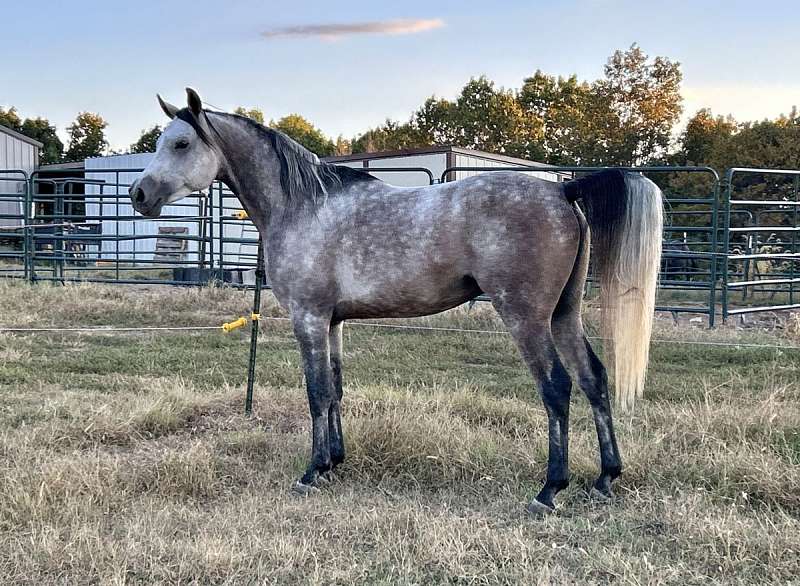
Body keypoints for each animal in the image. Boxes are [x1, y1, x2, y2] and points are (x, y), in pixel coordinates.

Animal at [130, 89, 663, 514]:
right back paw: (605, 478)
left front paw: (312, 471)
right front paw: (335, 463)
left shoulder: (309, 318)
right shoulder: (333, 322)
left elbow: (316, 393)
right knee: (593, 379)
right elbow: (335, 390)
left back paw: (550, 490)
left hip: (526, 317)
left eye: (180, 143)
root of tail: (563, 190)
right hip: (563, 315)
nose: (138, 194)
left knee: (556, 387)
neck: (304, 206)